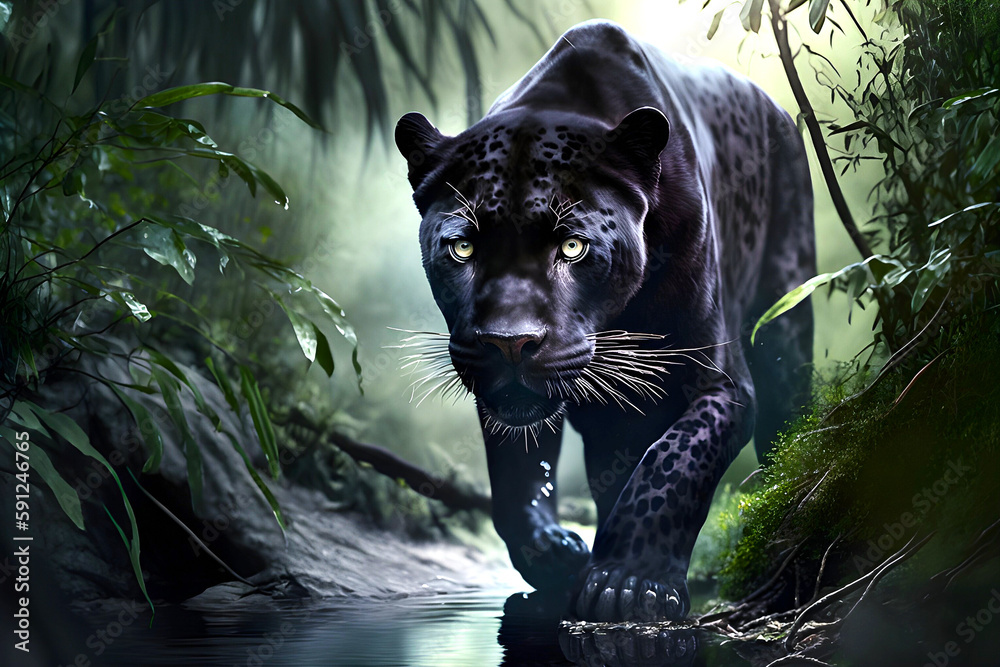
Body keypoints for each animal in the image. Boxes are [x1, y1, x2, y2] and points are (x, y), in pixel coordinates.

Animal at [394, 19, 814, 622]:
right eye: (464, 248)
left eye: (572, 246)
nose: (509, 343)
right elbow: (516, 472)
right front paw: (554, 554)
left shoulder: (720, 383)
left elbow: (674, 462)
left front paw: (630, 584)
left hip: (786, 312)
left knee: (788, 414)